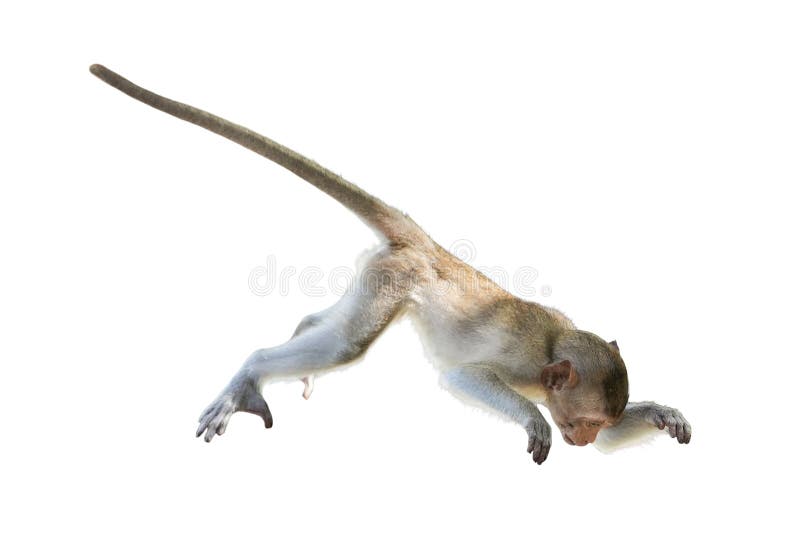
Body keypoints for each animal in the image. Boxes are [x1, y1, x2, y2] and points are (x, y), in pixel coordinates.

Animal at [89, 64, 691, 464]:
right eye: (582, 422)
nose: (581, 440)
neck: (551, 350)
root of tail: (426, 244)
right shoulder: (520, 366)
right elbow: (462, 375)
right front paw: (533, 418)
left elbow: (618, 440)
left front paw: (657, 413)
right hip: (396, 281)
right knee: (343, 344)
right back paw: (254, 372)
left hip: (382, 276)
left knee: (331, 329)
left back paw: (299, 341)